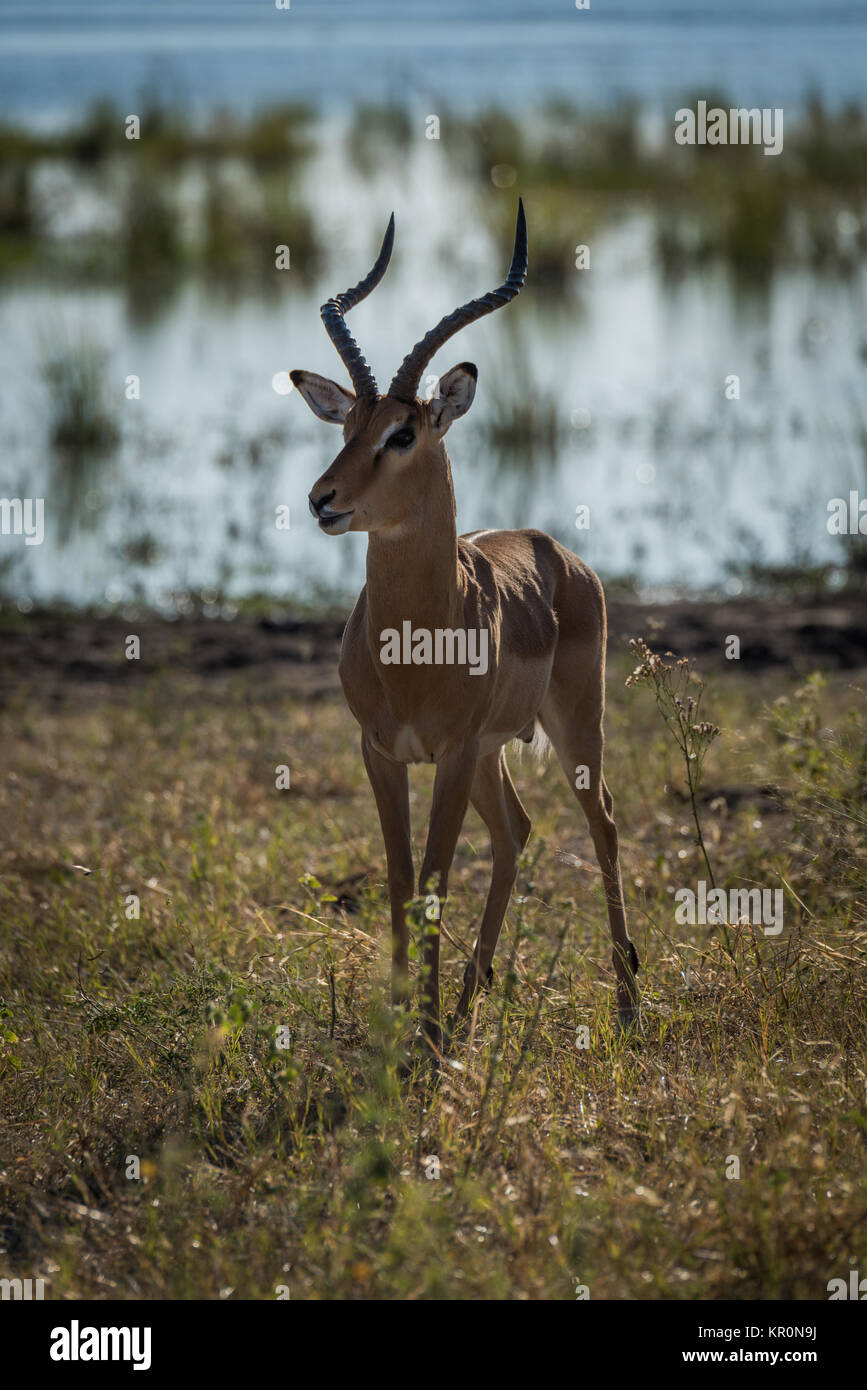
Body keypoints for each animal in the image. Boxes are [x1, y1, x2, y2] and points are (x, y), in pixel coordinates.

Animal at [290, 202, 639, 1055]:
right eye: (346, 425)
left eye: (402, 433)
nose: (323, 499)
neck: (415, 643)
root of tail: (559, 553)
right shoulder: (382, 752)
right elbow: (398, 879)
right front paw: (402, 1023)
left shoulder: (446, 755)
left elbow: (436, 881)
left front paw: (417, 1031)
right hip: (492, 753)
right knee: (516, 831)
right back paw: (467, 1005)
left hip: (572, 725)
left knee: (604, 824)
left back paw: (626, 1002)